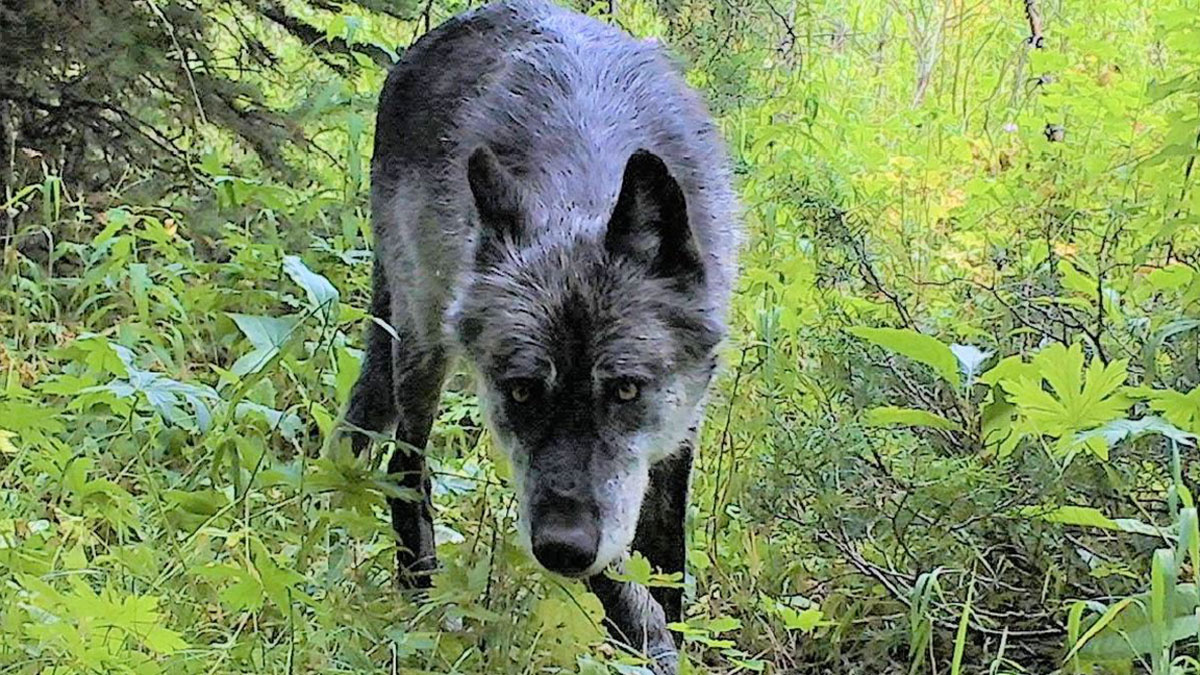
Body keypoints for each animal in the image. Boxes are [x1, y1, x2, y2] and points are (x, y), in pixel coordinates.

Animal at [343, 0, 740, 669]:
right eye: (523, 390)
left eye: (626, 390)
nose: (562, 549)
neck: (584, 183)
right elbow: (624, 588)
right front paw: (648, 643)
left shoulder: (678, 434)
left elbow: (667, 563)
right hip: (420, 334)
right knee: (403, 462)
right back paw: (418, 597)